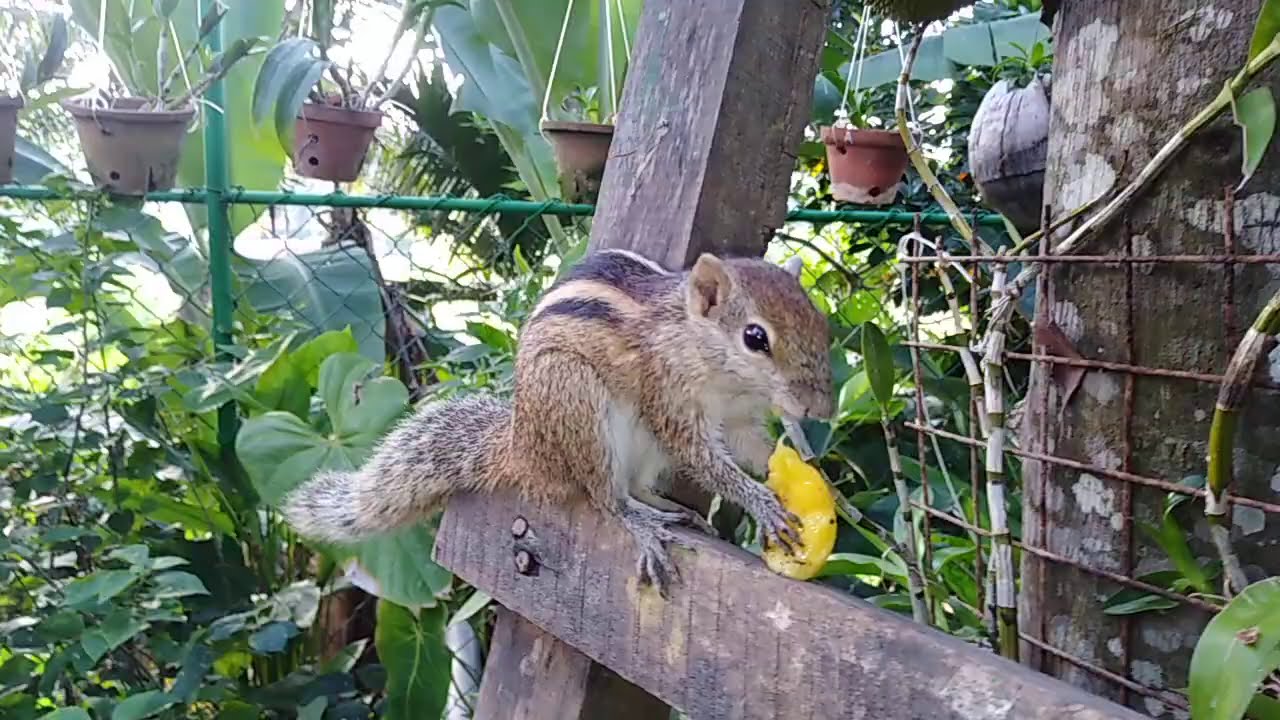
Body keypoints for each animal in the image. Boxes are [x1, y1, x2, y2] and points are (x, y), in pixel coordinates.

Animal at [280, 248, 835, 595]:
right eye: (755, 338)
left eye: (818, 320)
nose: (821, 410)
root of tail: (525, 449)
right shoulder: (669, 398)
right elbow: (704, 459)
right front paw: (763, 503)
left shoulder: (739, 418)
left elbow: (750, 448)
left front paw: (818, 480)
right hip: (577, 403)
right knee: (606, 497)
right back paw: (641, 520)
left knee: (633, 483)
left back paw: (666, 505)